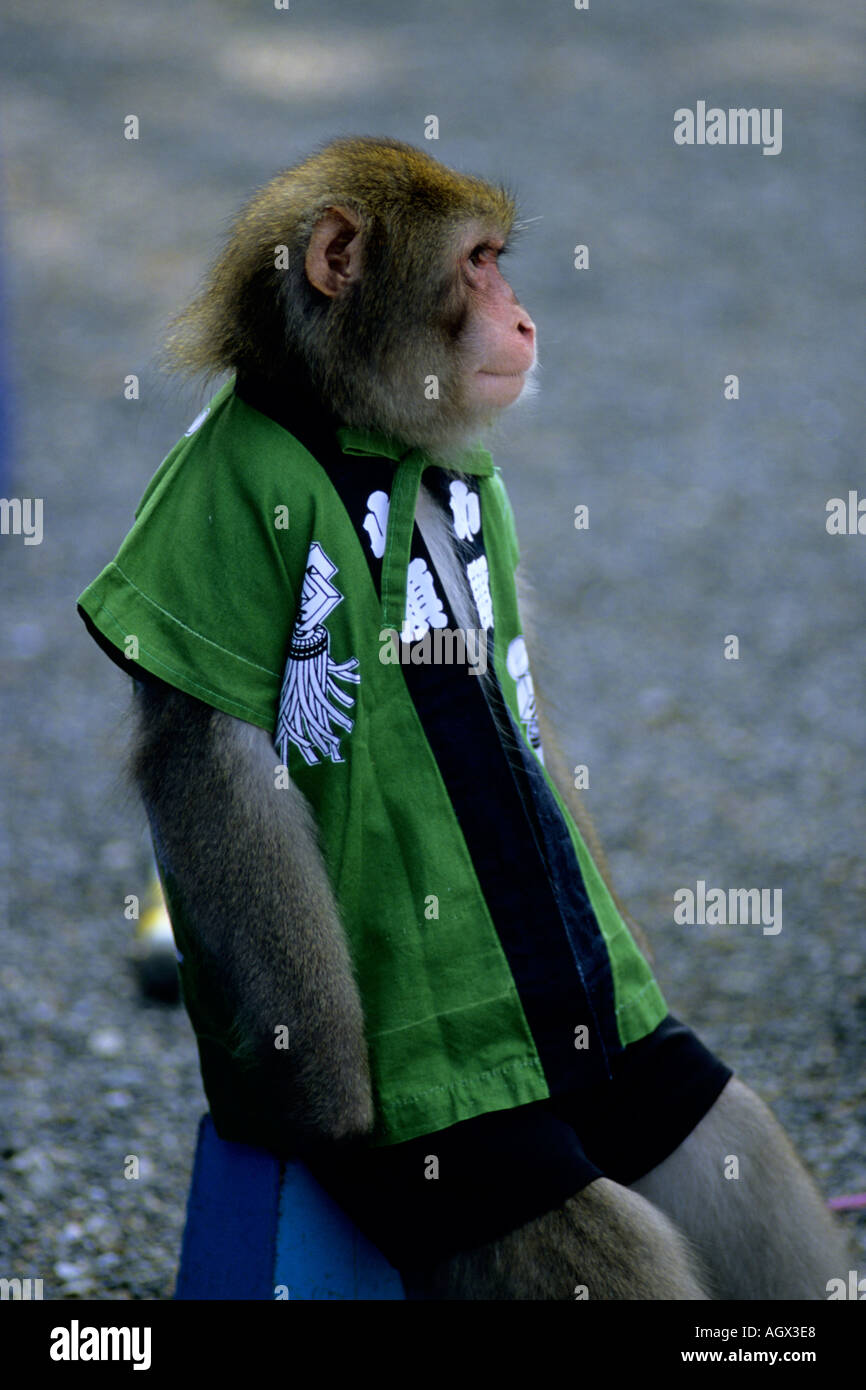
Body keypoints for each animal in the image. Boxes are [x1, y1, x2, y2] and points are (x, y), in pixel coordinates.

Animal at [78, 136, 851, 1300]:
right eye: (478, 264)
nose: (524, 319)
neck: (359, 432)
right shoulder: (213, 513)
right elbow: (213, 764)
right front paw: (317, 1107)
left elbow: (525, 709)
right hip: (491, 1154)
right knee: (575, 1217)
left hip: (625, 1071)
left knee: (711, 1127)